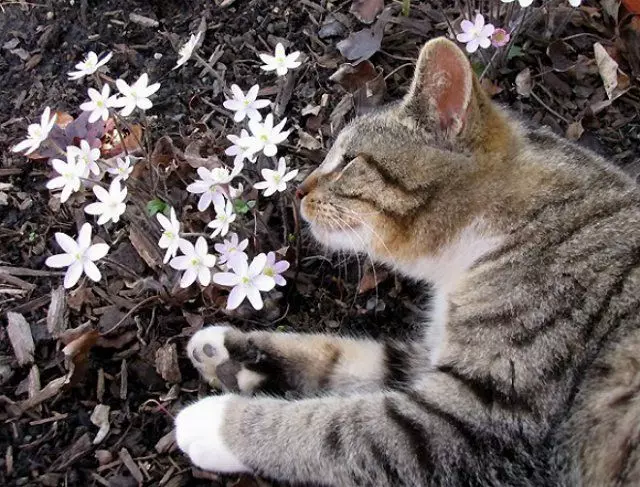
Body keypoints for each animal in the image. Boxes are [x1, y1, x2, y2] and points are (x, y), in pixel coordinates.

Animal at [172, 39, 640, 487]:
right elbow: (346, 356)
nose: (298, 190)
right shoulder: (423, 357)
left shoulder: (482, 420)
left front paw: (213, 424)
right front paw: (236, 356)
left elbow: (336, 430)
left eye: (349, 161)